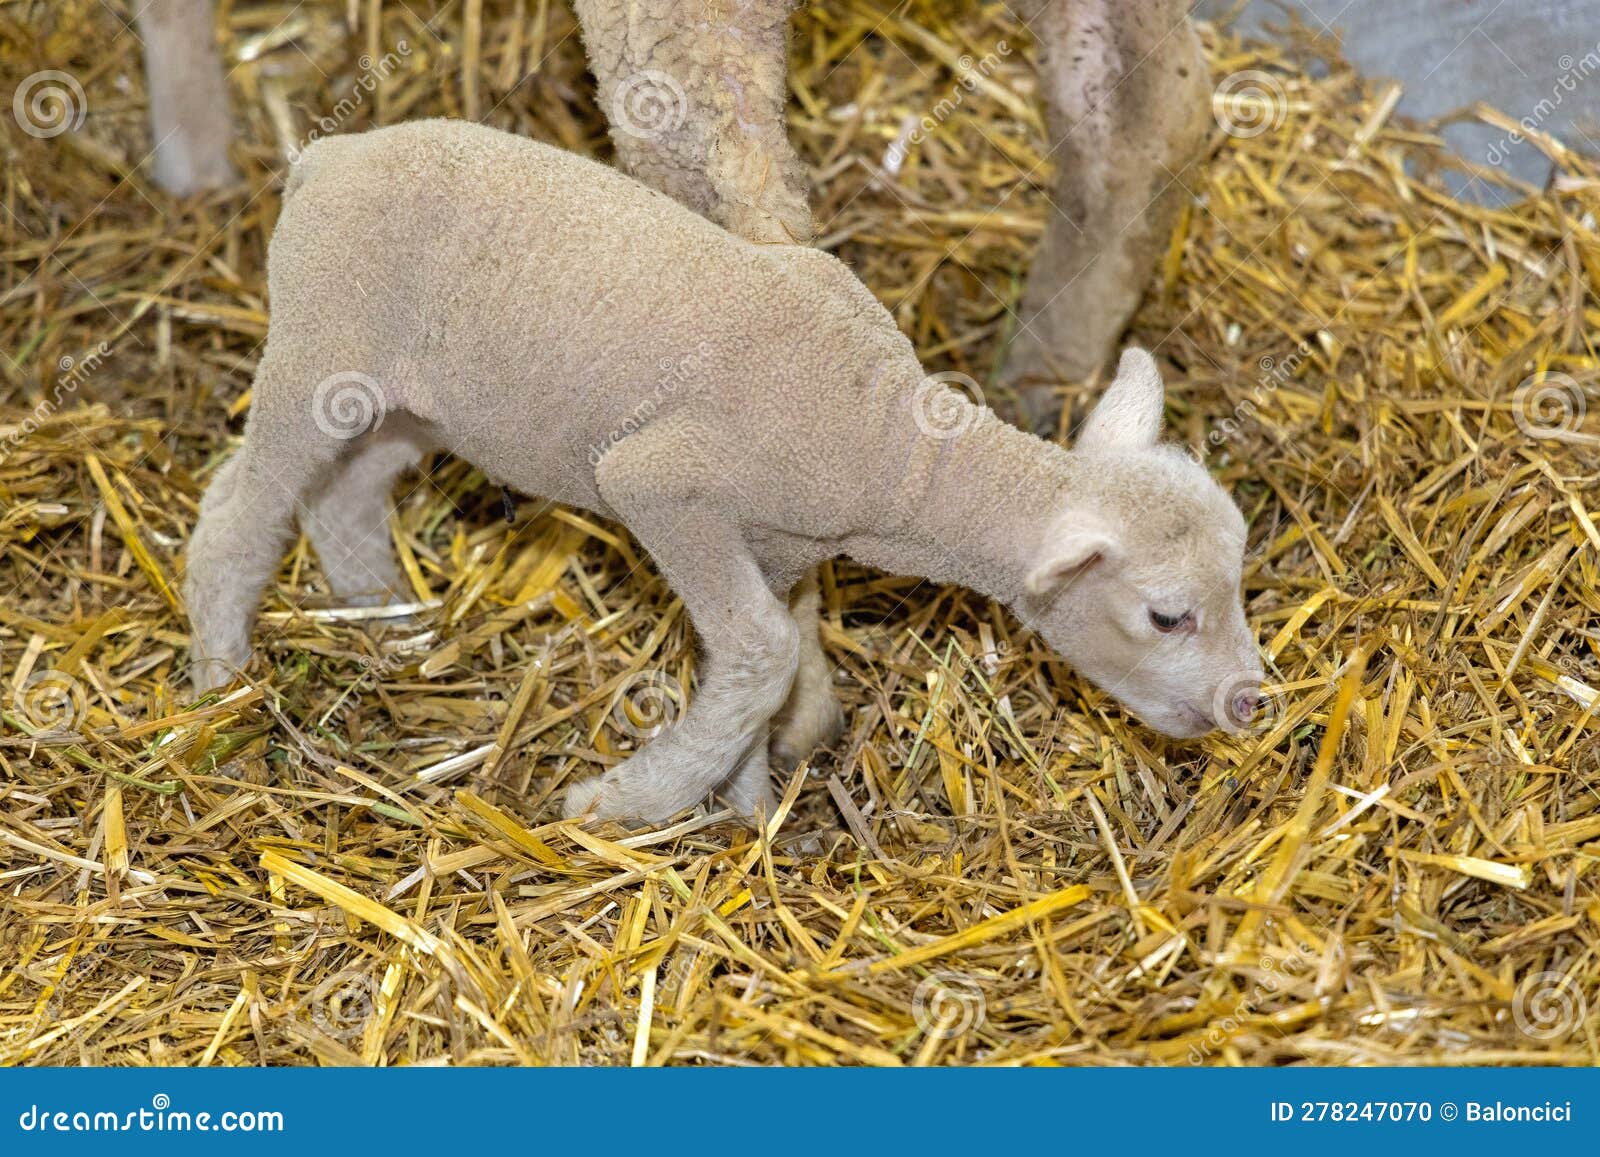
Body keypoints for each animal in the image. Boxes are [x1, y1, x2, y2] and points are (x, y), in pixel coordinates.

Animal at [183, 118, 1262, 825]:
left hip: (416, 399)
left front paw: (742, 797)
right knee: (240, 504)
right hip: (321, 348)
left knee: (346, 495)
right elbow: (761, 651)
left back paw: (387, 616)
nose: (1251, 701)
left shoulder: (776, 543)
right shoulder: (663, 482)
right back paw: (219, 676)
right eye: (1168, 615)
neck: (893, 446)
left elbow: (770, 655)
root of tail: (321, 157)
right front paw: (629, 798)